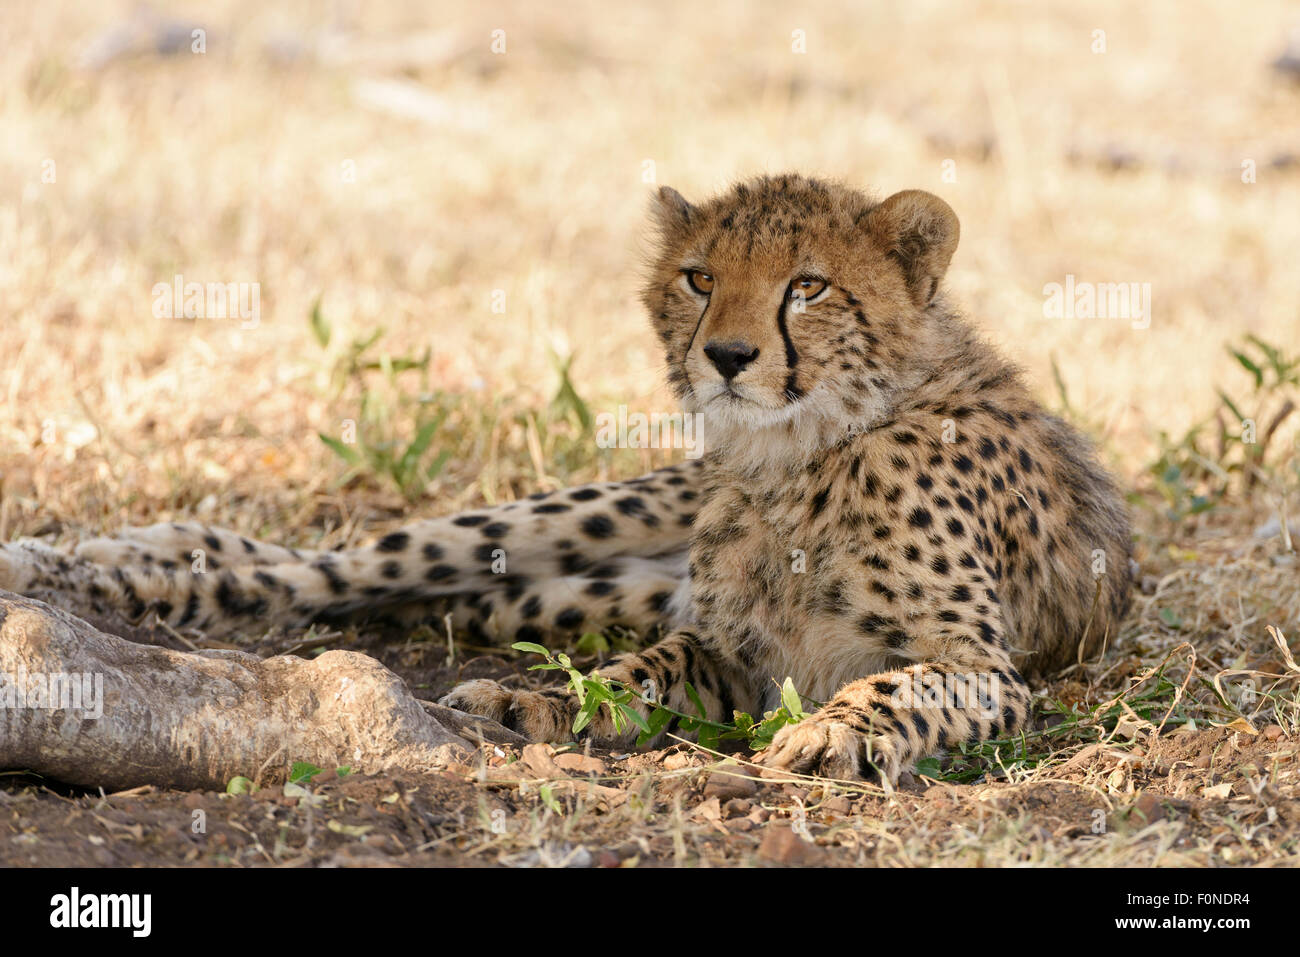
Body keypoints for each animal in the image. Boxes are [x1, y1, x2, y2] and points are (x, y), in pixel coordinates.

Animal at [0, 174, 1132, 784]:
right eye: (700, 277)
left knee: (437, 594)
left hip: (570, 584)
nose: (727, 357)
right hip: (572, 520)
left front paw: (833, 733)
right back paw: (101, 565)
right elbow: (645, 669)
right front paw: (539, 704)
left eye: (808, 287)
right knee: (341, 565)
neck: (795, 455)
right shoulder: (727, 647)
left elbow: (899, 682)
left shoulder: (986, 666)